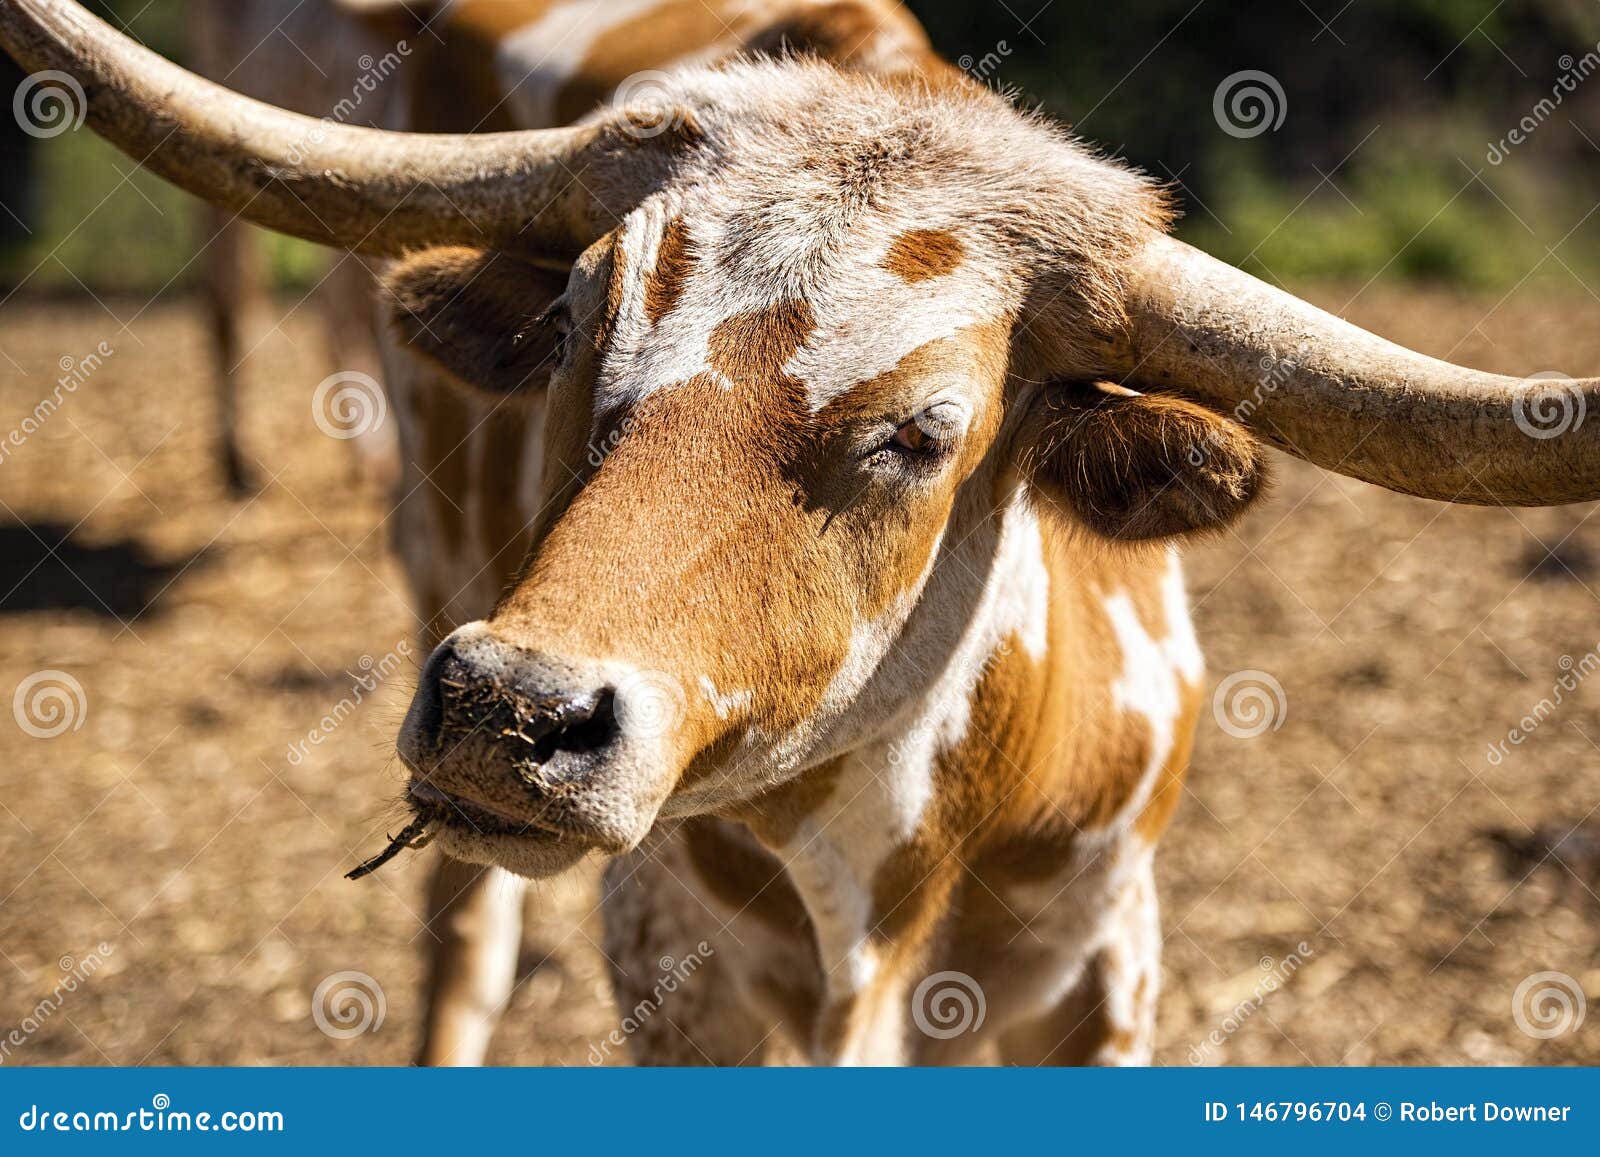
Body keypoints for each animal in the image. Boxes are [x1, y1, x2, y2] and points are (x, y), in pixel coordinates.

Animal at [4, 0, 1597, 1065]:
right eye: (578, 324)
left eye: (925, 433)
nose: (508, 712)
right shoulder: (678, 971)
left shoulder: (1102, 975)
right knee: (463, 936)